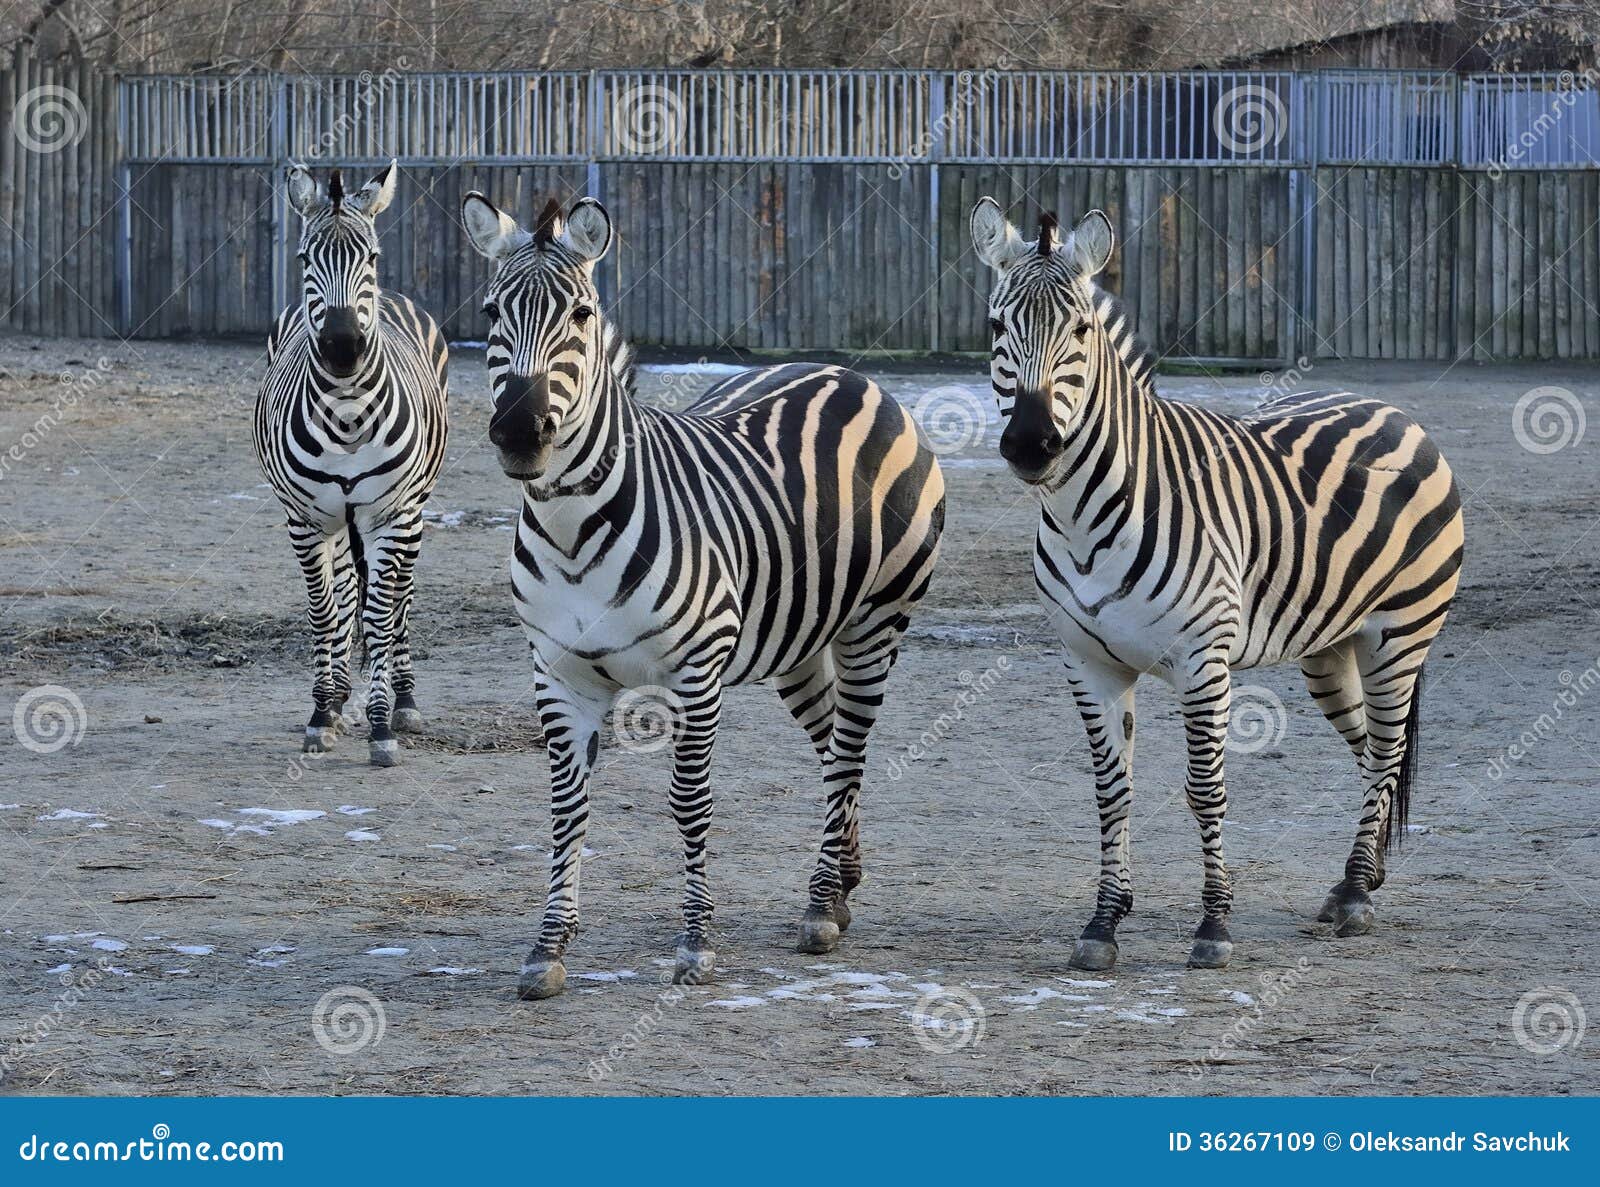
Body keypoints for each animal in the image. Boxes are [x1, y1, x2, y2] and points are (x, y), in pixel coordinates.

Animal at [255, 161, 449, 767]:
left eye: (372, 257)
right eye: (303, 259)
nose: (343, 347)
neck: (345, 414)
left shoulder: (392, 516)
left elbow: (383, 613)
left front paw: (383, 723)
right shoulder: (305, 519)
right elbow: (324, 611)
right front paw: (322, 713)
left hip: (414, 507)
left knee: (400, 596)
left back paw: (404, 699)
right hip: (337, 521)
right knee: (343, 589)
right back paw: (339, 694)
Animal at [461, 192, 945, 999]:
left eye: (582, 314)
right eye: (493, 311)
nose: (521, 431)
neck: (572, 529)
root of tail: (850, 374)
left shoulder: (696, 669)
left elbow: (690, 803)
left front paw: (694, 943)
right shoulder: (557, 671)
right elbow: (566, 809)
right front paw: (548, 947)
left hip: (877, 622)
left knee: (849, 748)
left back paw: (820, 906)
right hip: (798, 638)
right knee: (830, 747)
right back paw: (840, 882)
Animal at [970, 198, 1464, 971]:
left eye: (1080, 330)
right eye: (997, 328)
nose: (1030, 444)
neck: (1083, 517)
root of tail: (1390, 409)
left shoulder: (1204, 661)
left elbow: (1205, 791)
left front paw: (1213, 924)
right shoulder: (1088, 663)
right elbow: (1112, 792)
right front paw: (1104, 922)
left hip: (1401, 634)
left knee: (1386, 753)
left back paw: (1357, 894)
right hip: (1330, 647)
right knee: (1370, 753)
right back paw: (1363, 876)